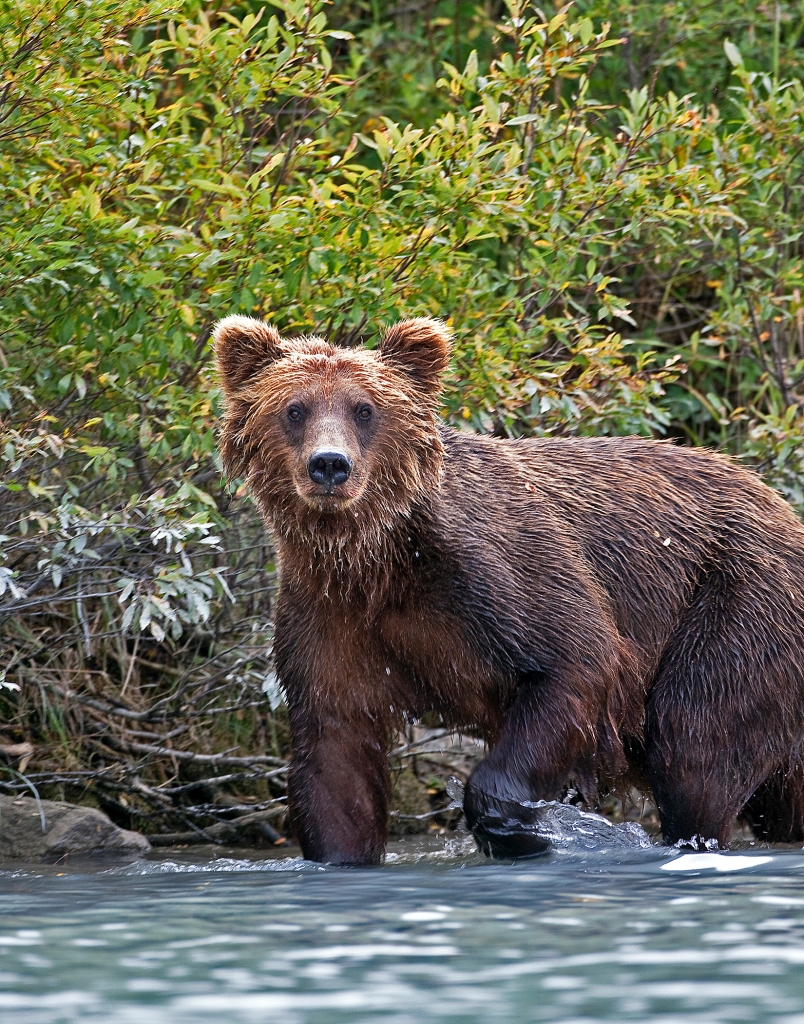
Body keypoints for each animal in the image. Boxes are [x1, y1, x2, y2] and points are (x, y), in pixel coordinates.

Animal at [214, 314, 804, 865]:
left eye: (365, 409)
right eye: (294, 409)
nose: (330, 466)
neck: (377, 559)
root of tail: (780, 504)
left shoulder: (496, 573)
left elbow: (573, 661)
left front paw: (519, 828)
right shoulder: (330, 612)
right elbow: (337, 756)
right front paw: (343, 851)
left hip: (737, 602)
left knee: (694, 744)